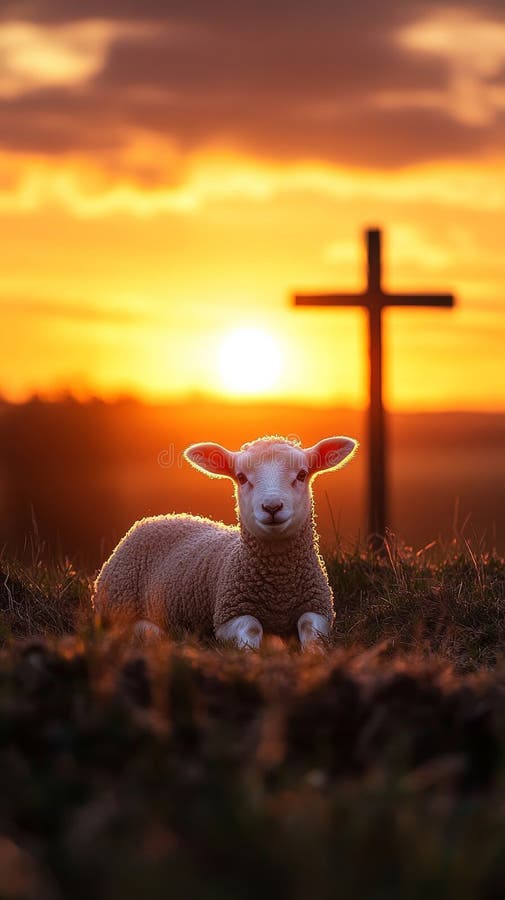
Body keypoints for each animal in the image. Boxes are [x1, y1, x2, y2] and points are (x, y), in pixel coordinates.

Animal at [93, 434, 358, 649]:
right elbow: (252, 627)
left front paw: (314, 653)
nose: (272, 507)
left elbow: (310, 630)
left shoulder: (319, 607)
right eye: (241, 477)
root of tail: (154, 519)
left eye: (302, 475)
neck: (278, 586)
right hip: (116, 605)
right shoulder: (227, 615)